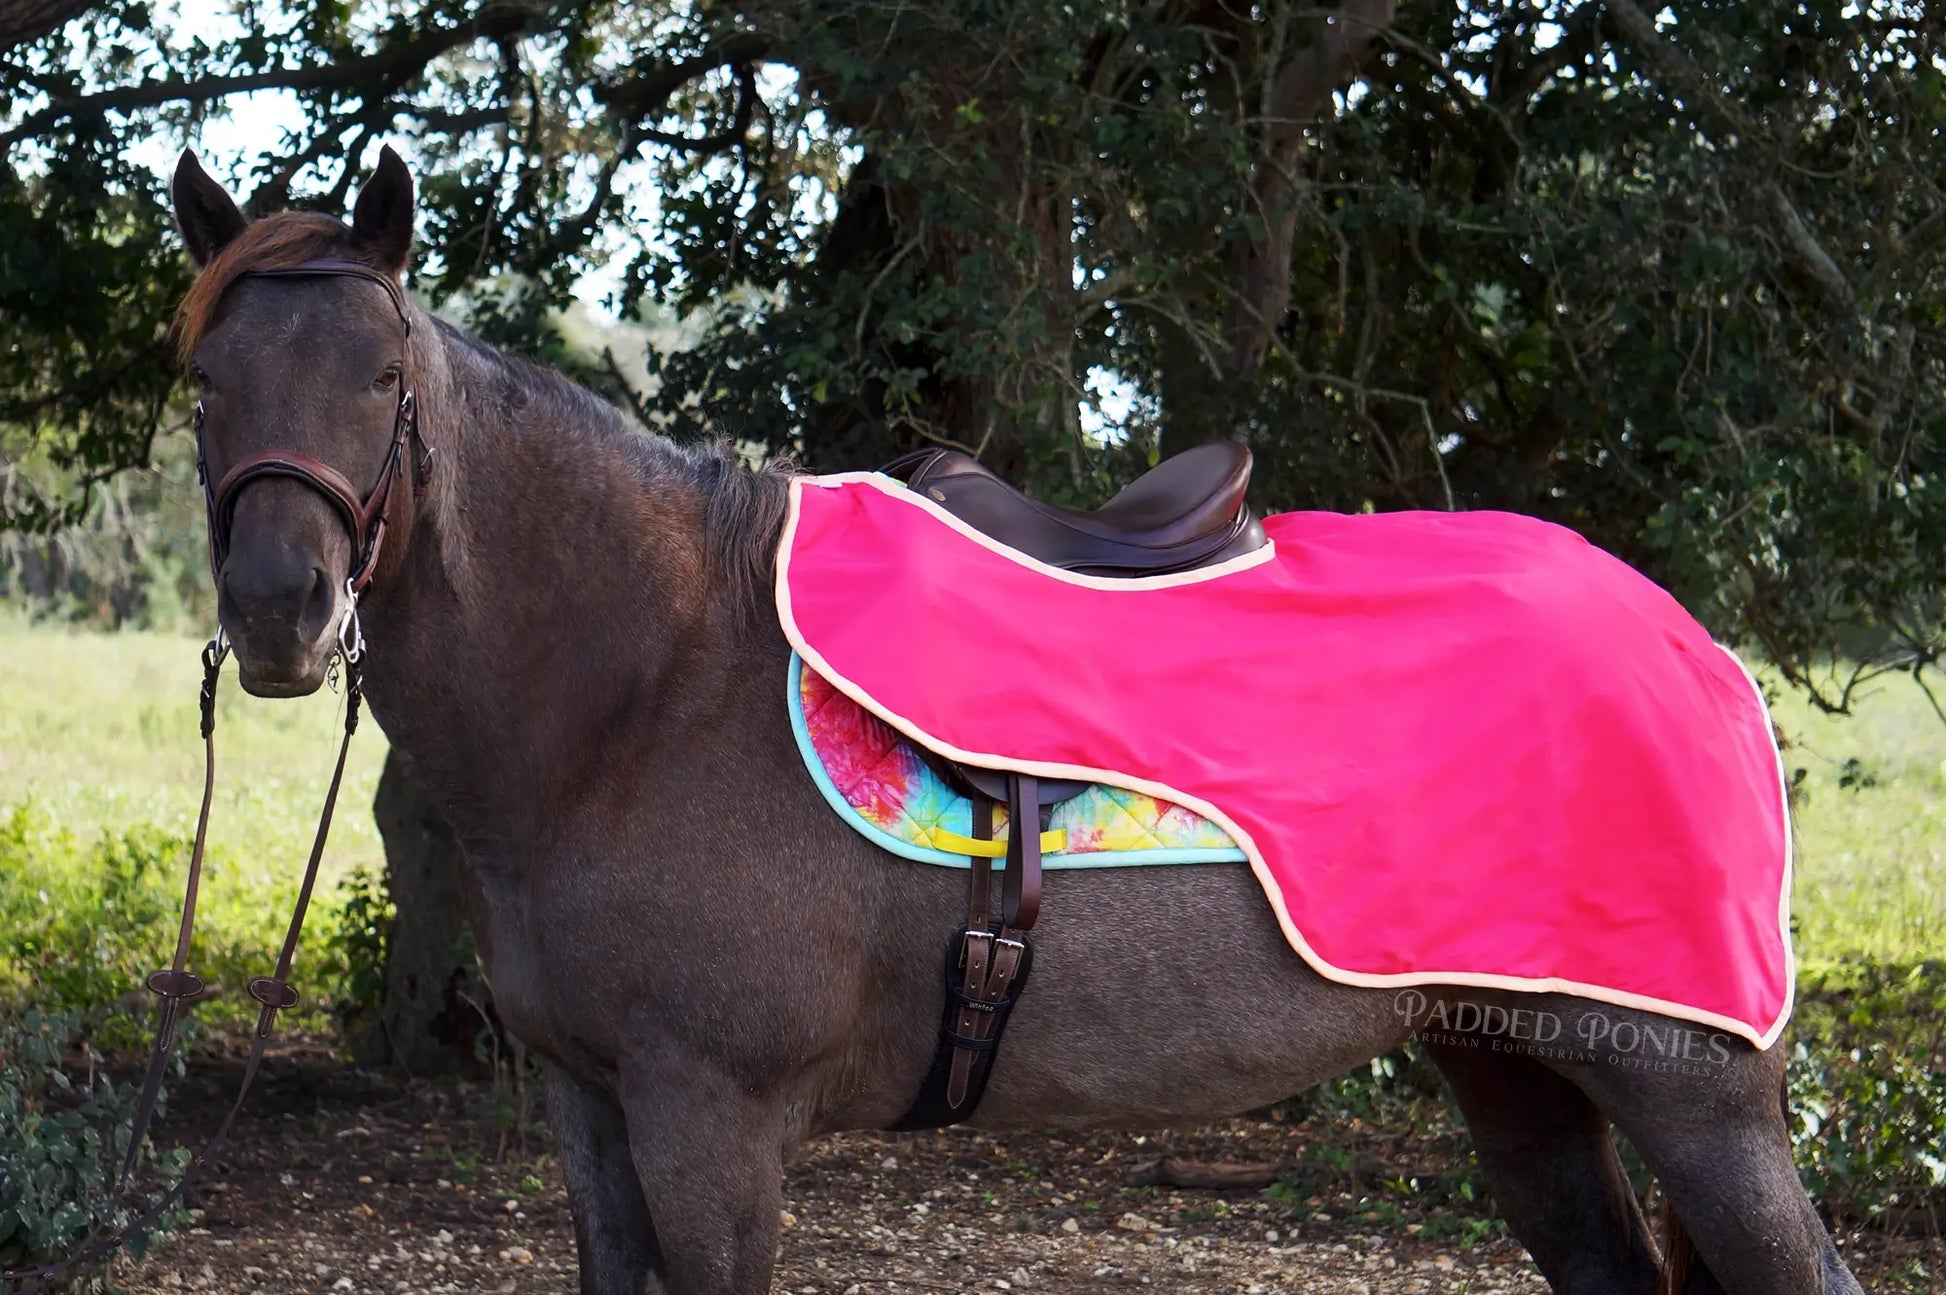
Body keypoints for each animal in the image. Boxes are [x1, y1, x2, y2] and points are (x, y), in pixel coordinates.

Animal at [167, 145, 1864, 1295]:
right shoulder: (589, 1107)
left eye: (381, 371)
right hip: (1509, 1065)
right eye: (205, 382)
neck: (644, 691)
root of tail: (1687, 643)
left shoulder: (713, 1122)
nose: (281, 608)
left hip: (1694, 1086)